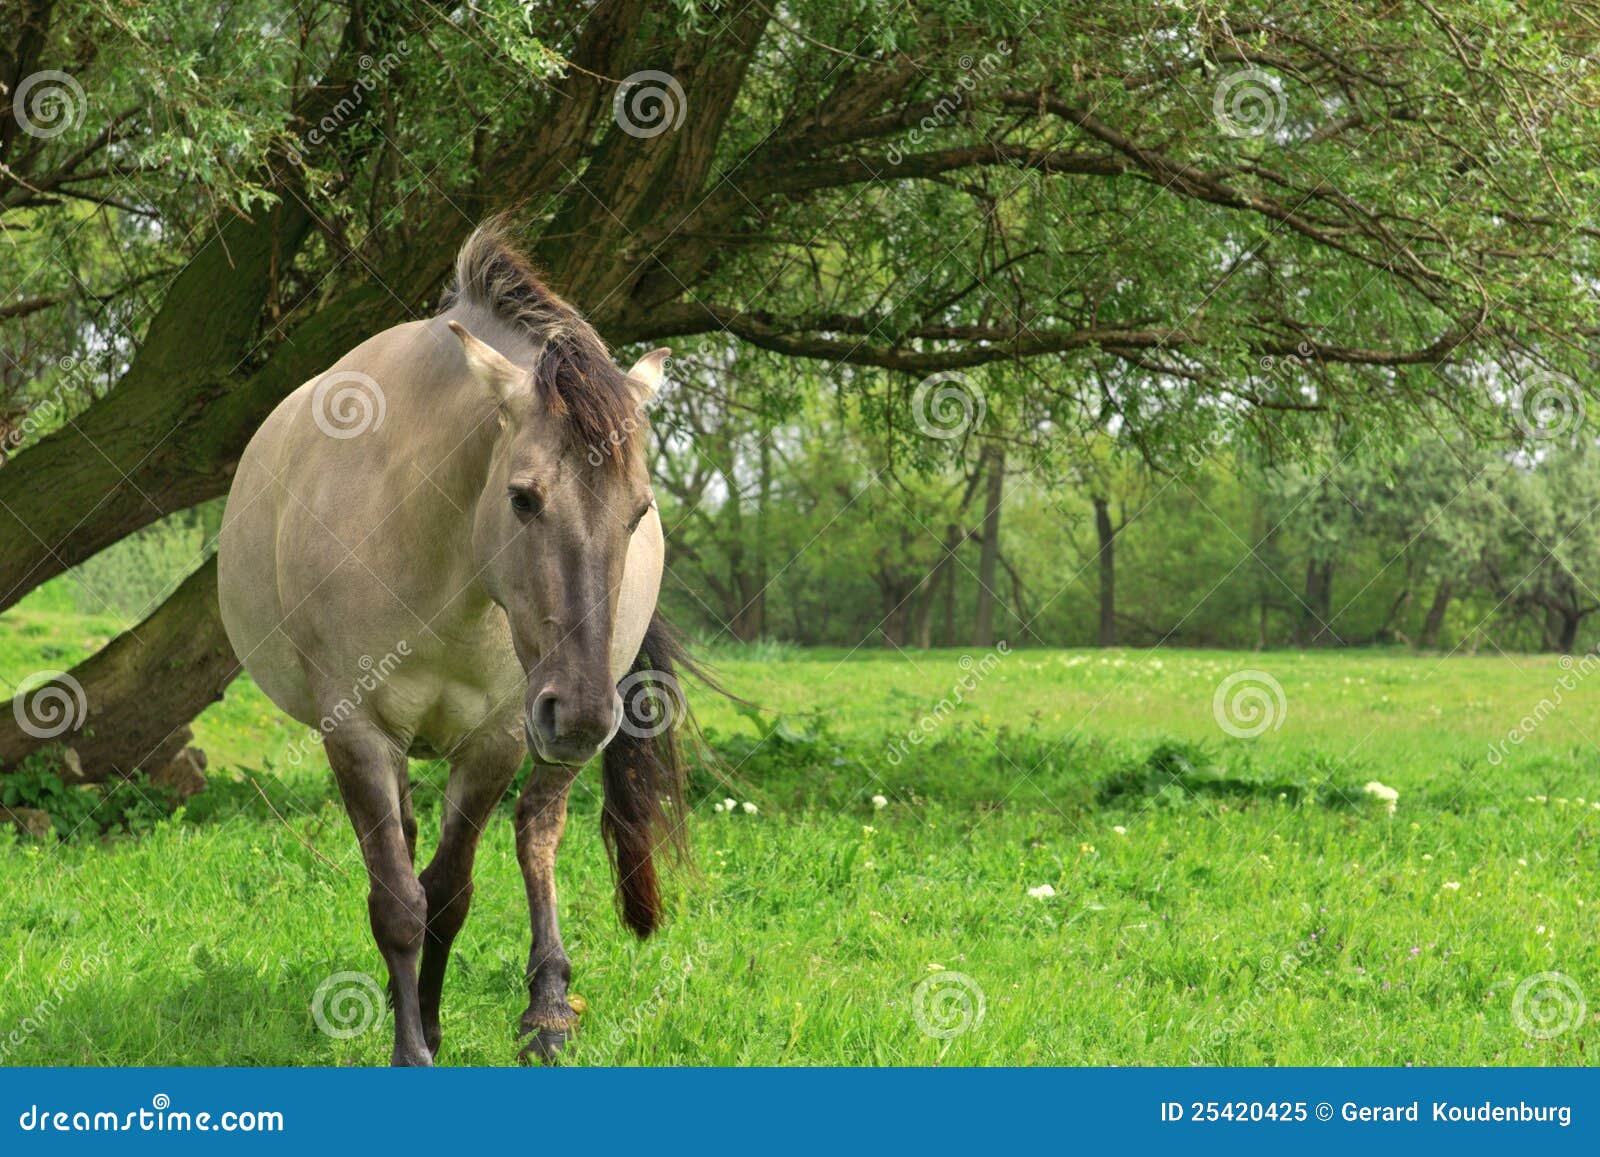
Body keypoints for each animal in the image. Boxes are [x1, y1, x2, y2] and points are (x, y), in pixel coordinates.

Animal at [217, 220, 689, 1066]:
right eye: (523, 497)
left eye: (639, 511)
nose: (579, 714)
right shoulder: (359, 730)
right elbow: (400, 900)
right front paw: (412, 1045)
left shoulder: (498, 736)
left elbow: (450, 891)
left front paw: (434, 1024)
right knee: (407, 847)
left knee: (537, 833)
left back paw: (548, 1009)